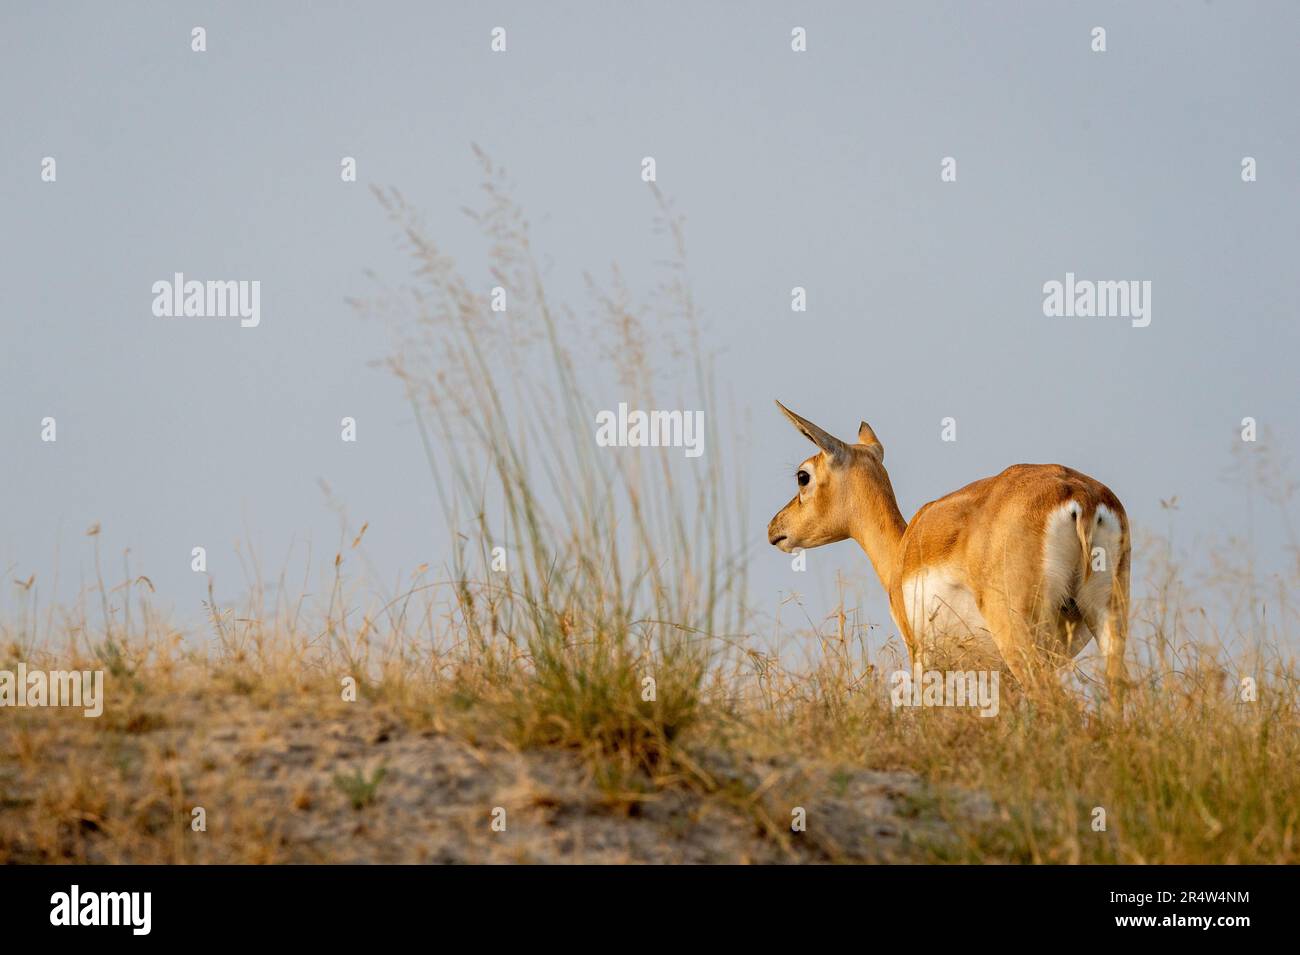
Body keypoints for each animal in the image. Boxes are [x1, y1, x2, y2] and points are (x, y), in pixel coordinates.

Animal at [766, 402, 1130, 695]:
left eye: (803, 476)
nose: (775, 528)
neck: (904, 548)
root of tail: (1080, 496)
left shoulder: (923, 658)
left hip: (1020, 638)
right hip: (1107, 622)